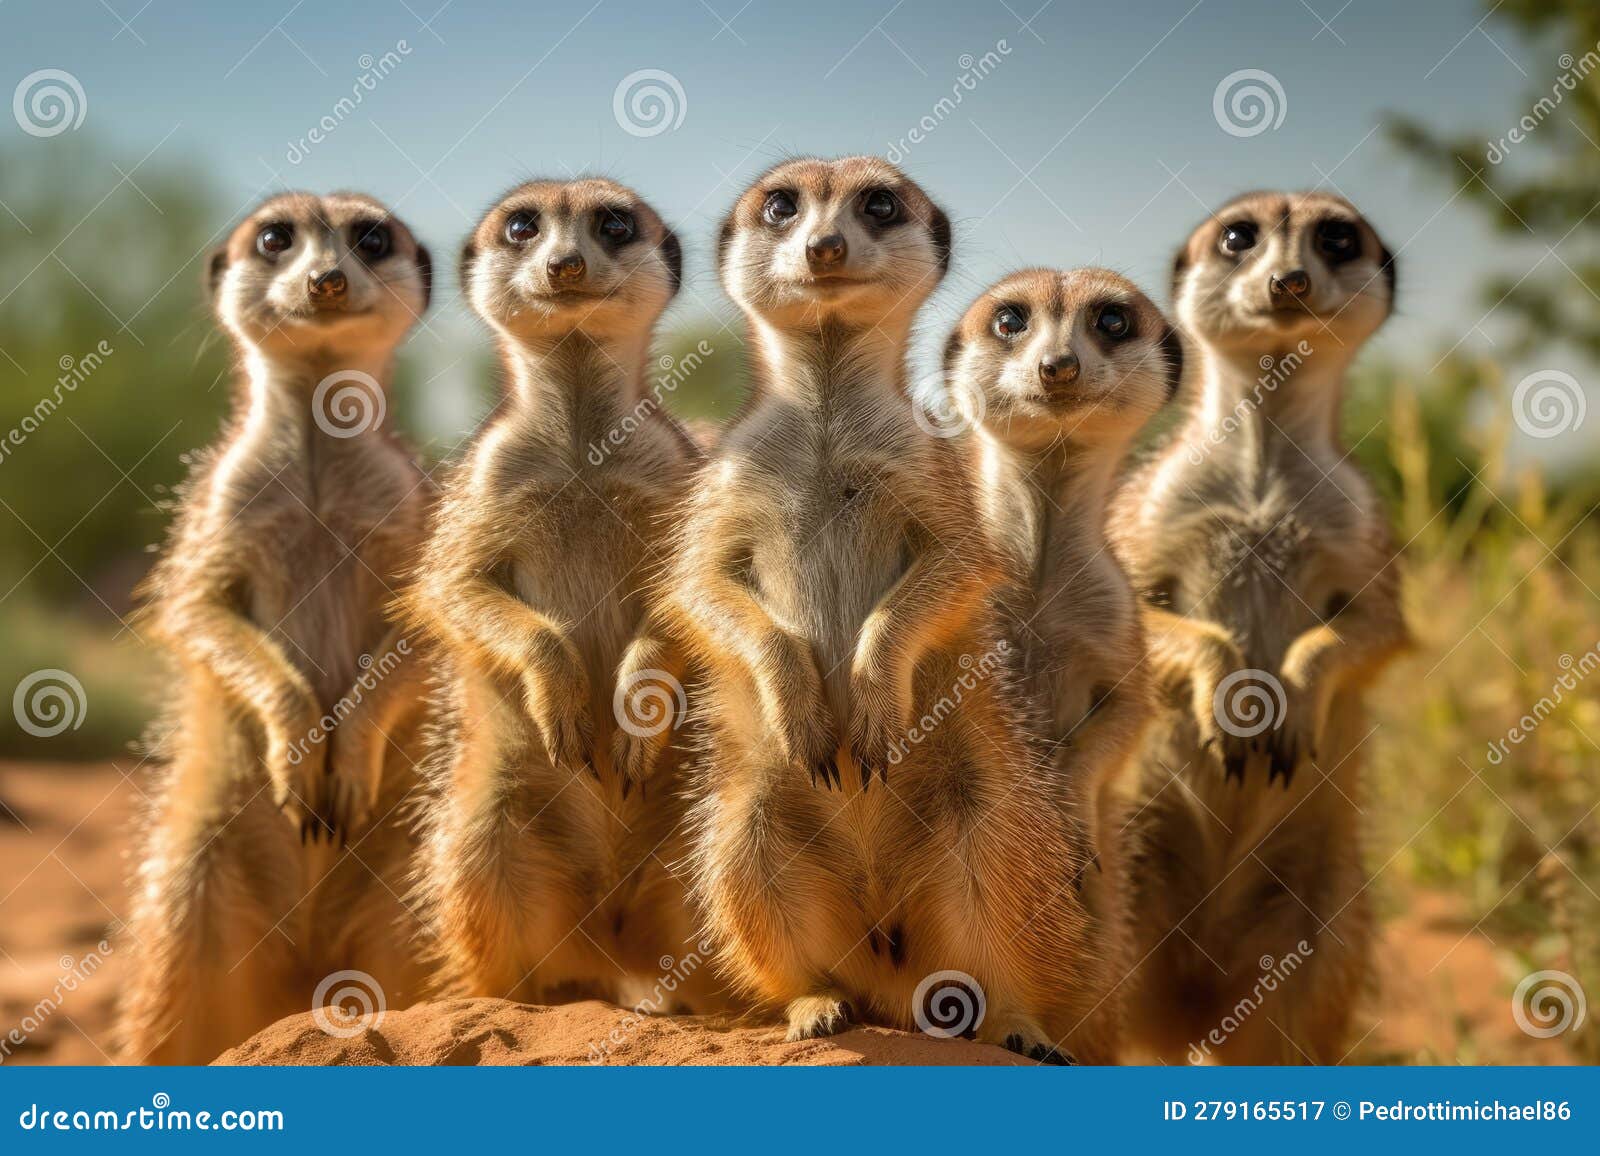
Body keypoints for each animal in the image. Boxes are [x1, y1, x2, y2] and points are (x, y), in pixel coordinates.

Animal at [117, 192, 436, 1064]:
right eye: (274, 237)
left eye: (371, 238)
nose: (327, 279)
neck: (321, 459)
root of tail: (306, 969)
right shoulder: (219, 509)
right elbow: (196, 610)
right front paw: (299, 741)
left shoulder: (412, 510)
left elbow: (428, 628)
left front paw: (345, 753)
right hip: (192, 884)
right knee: (170, 1009)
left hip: (406, 888)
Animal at [1108, 191, 1408, 1064]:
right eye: (1239, 235)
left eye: (1337, 238)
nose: (1290, 280)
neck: (1261, 472)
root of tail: (1188, 1014)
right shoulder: (1148, 509)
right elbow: (1135, 614)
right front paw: (1226, 686)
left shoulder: (1364, 529)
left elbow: (1376, 628)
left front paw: (1294, 694)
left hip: (1329, 917)